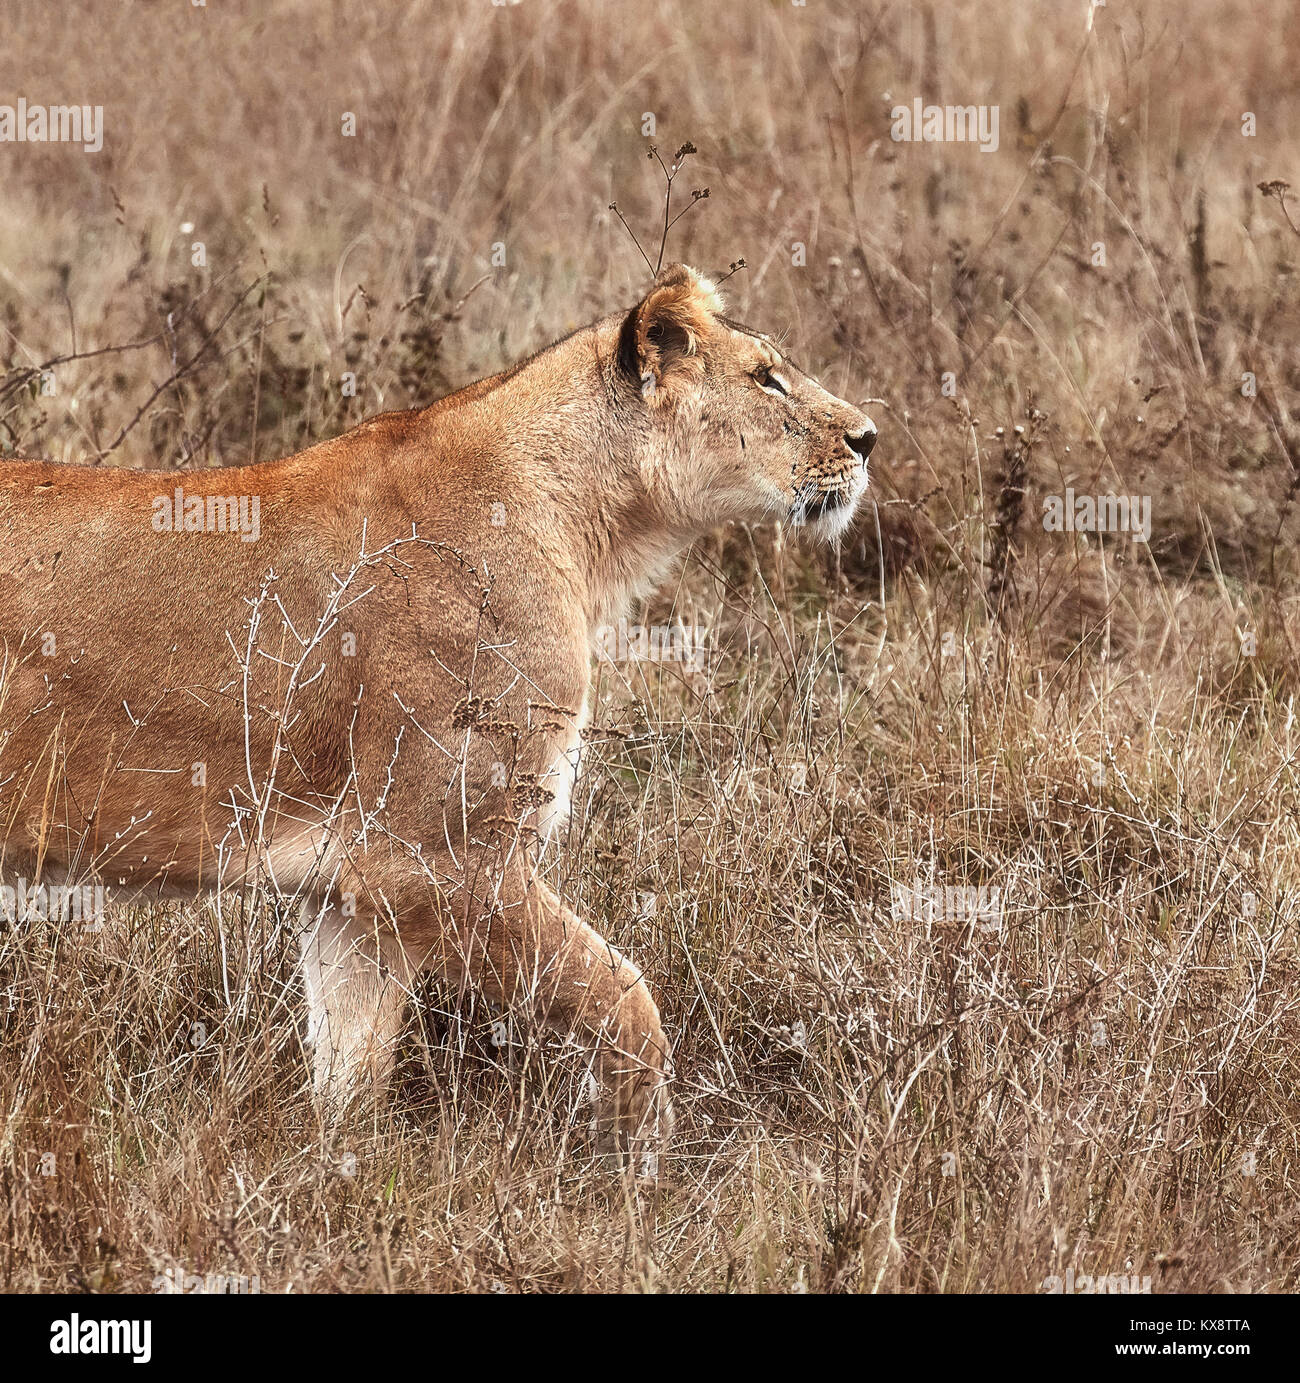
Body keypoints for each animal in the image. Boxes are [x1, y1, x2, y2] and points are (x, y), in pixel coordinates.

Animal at [0, 264, 875, 1161]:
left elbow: (350, 1070)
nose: (868, 438)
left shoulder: (352, 896)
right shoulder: (437, 859)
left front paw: (340, 1171)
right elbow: (623, 994)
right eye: (766, 377)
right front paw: (642, 1157)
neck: (585, 523)